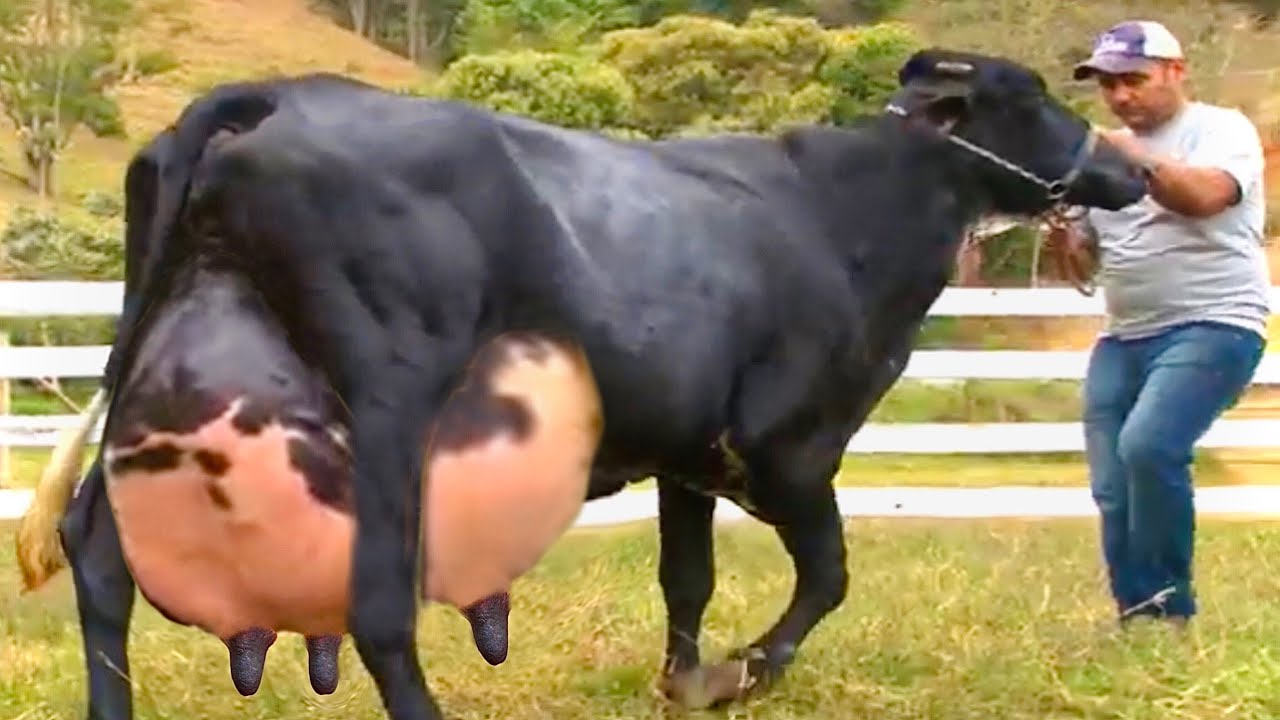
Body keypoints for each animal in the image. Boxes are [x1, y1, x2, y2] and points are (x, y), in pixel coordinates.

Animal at [15, 47, 1148, 719]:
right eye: (1035, 98)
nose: (1131, 170)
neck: (848, 217)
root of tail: (280, 95)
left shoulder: (688, 454)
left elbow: (686, 578)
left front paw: (683, 679)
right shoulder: (789, 447)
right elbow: (826, 575)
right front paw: (736, 675)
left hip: (182, 388)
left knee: (101, 554)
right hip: (389, 403)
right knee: (376, 601)